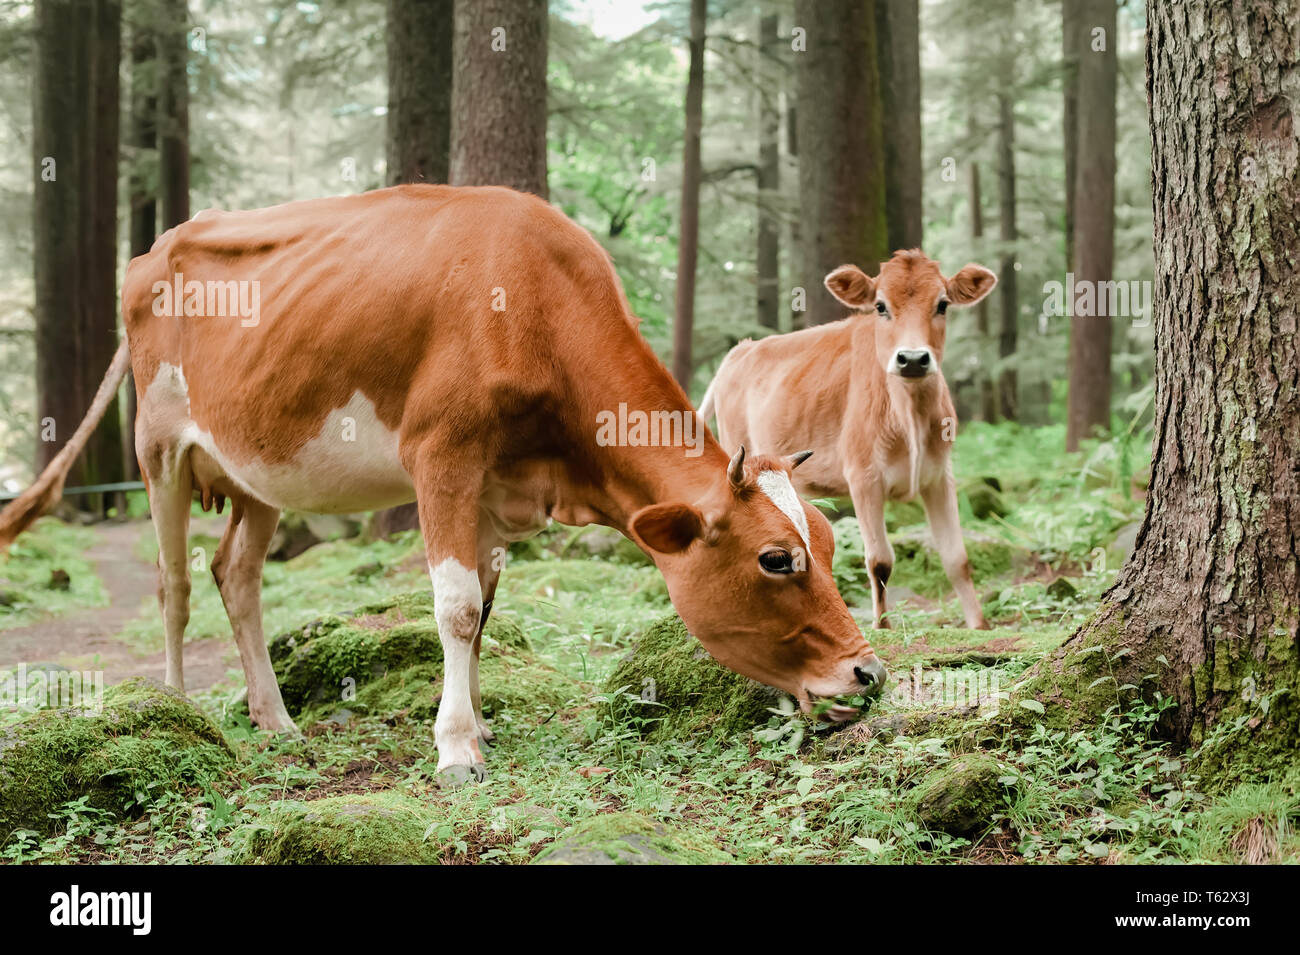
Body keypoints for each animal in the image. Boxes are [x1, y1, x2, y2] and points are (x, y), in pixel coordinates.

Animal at [0, 184, 887, 784]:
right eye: (775, 558)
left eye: (828, 539)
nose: (868, 673)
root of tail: (158, 245)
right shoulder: (443, 455)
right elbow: (456, 607)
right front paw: (457, 747)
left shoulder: (497, 487)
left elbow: (485, 608)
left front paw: (480, 726)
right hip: (158, 446)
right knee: (174, 581)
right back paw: (182, 710)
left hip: (259, 465)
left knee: (236, 573)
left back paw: (276, 718)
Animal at [698, 250, 998, 633]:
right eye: (881, 306)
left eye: (942, 304)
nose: (913, 359)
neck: (909, 413)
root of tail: (740, 350)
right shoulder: (863, 475)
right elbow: (880, 560)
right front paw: (882, 627)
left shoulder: (939, 475)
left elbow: (957, 558)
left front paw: (979, 625)